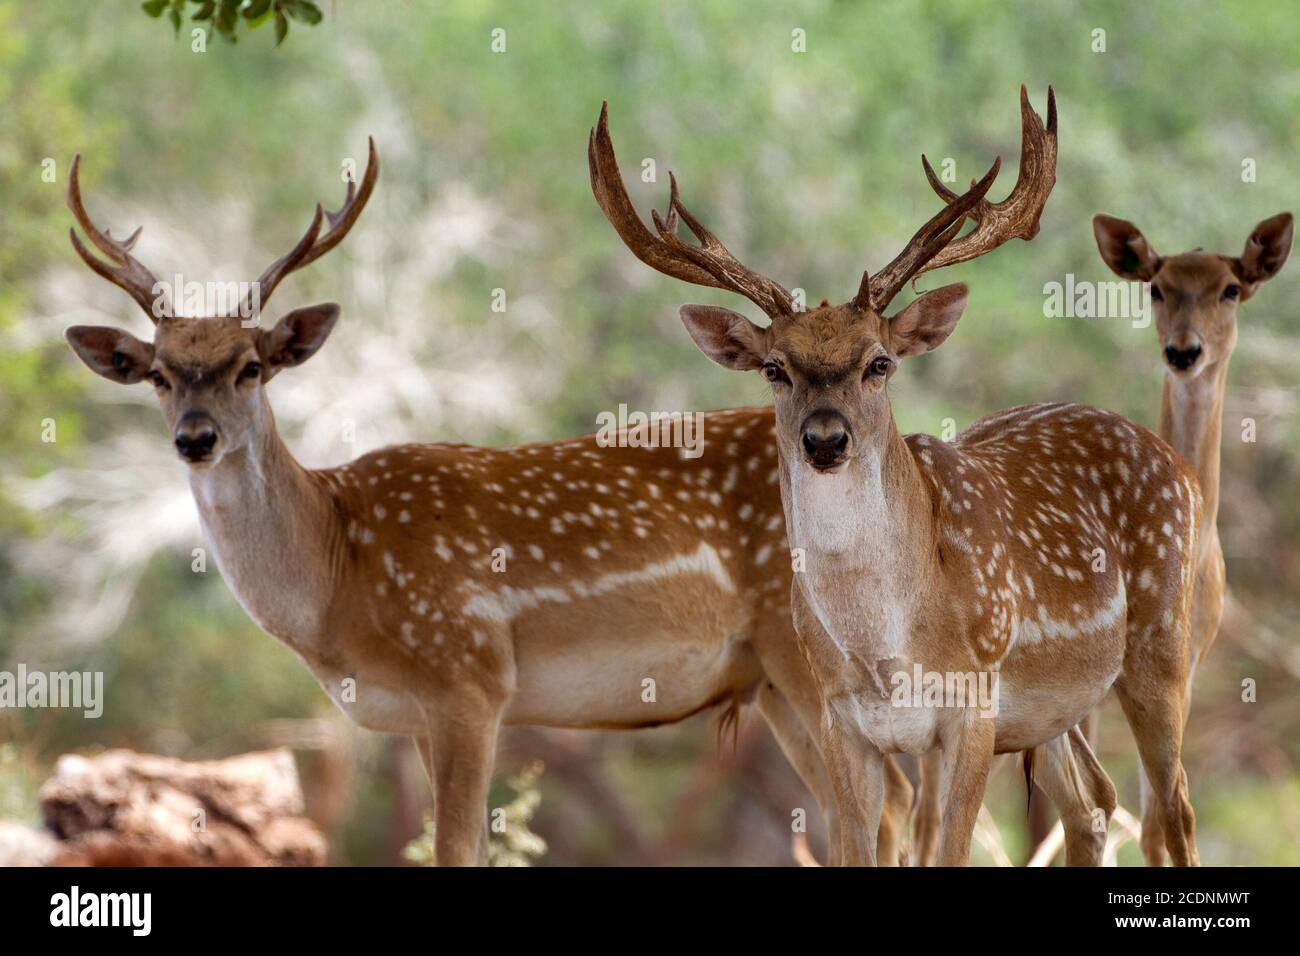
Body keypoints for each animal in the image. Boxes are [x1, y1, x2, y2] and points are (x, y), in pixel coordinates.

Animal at [60, 142, 917, 866]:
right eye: (159, 374)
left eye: (250, 366)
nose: (195, 437)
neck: (339, 578)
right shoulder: (416, 712)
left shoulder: (467, 678)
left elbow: (456, 849)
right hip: (769, 680)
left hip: (801, 654)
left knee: (886, 804)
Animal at [591, 87, 1205, 866]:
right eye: (774, 368)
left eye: (878, 361)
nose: (825, 438)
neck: (887, 647)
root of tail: (1176, 465)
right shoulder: (841, 720)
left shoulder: (972, 708)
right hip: (1053, 709)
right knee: (1093, 799)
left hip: (1164, 638)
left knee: (1175, 807)